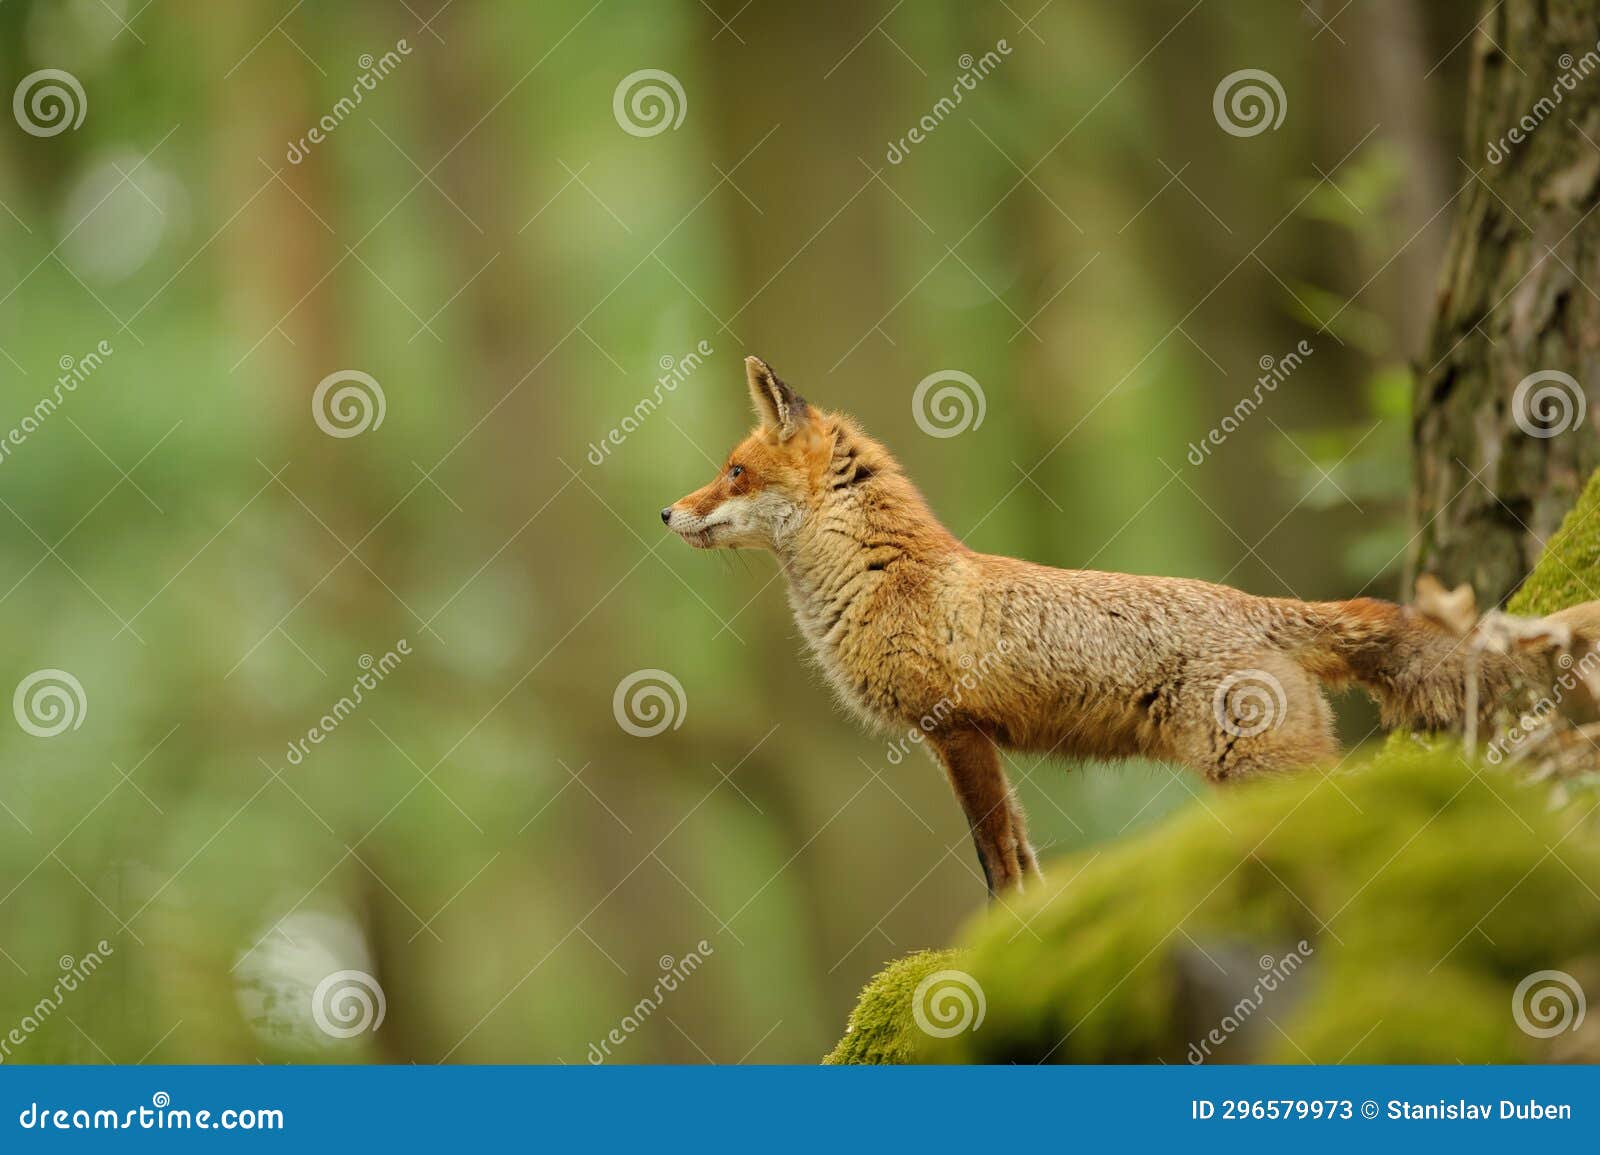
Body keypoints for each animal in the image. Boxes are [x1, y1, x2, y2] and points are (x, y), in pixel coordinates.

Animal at [661, 356, 1600, 896]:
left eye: (734, 471)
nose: (666, 512)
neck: (887, 581)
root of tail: (1258, 605)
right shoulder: (978, 742)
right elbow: (1025, 850)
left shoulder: (955, 730)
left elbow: (995, 859)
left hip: (1255, 768)